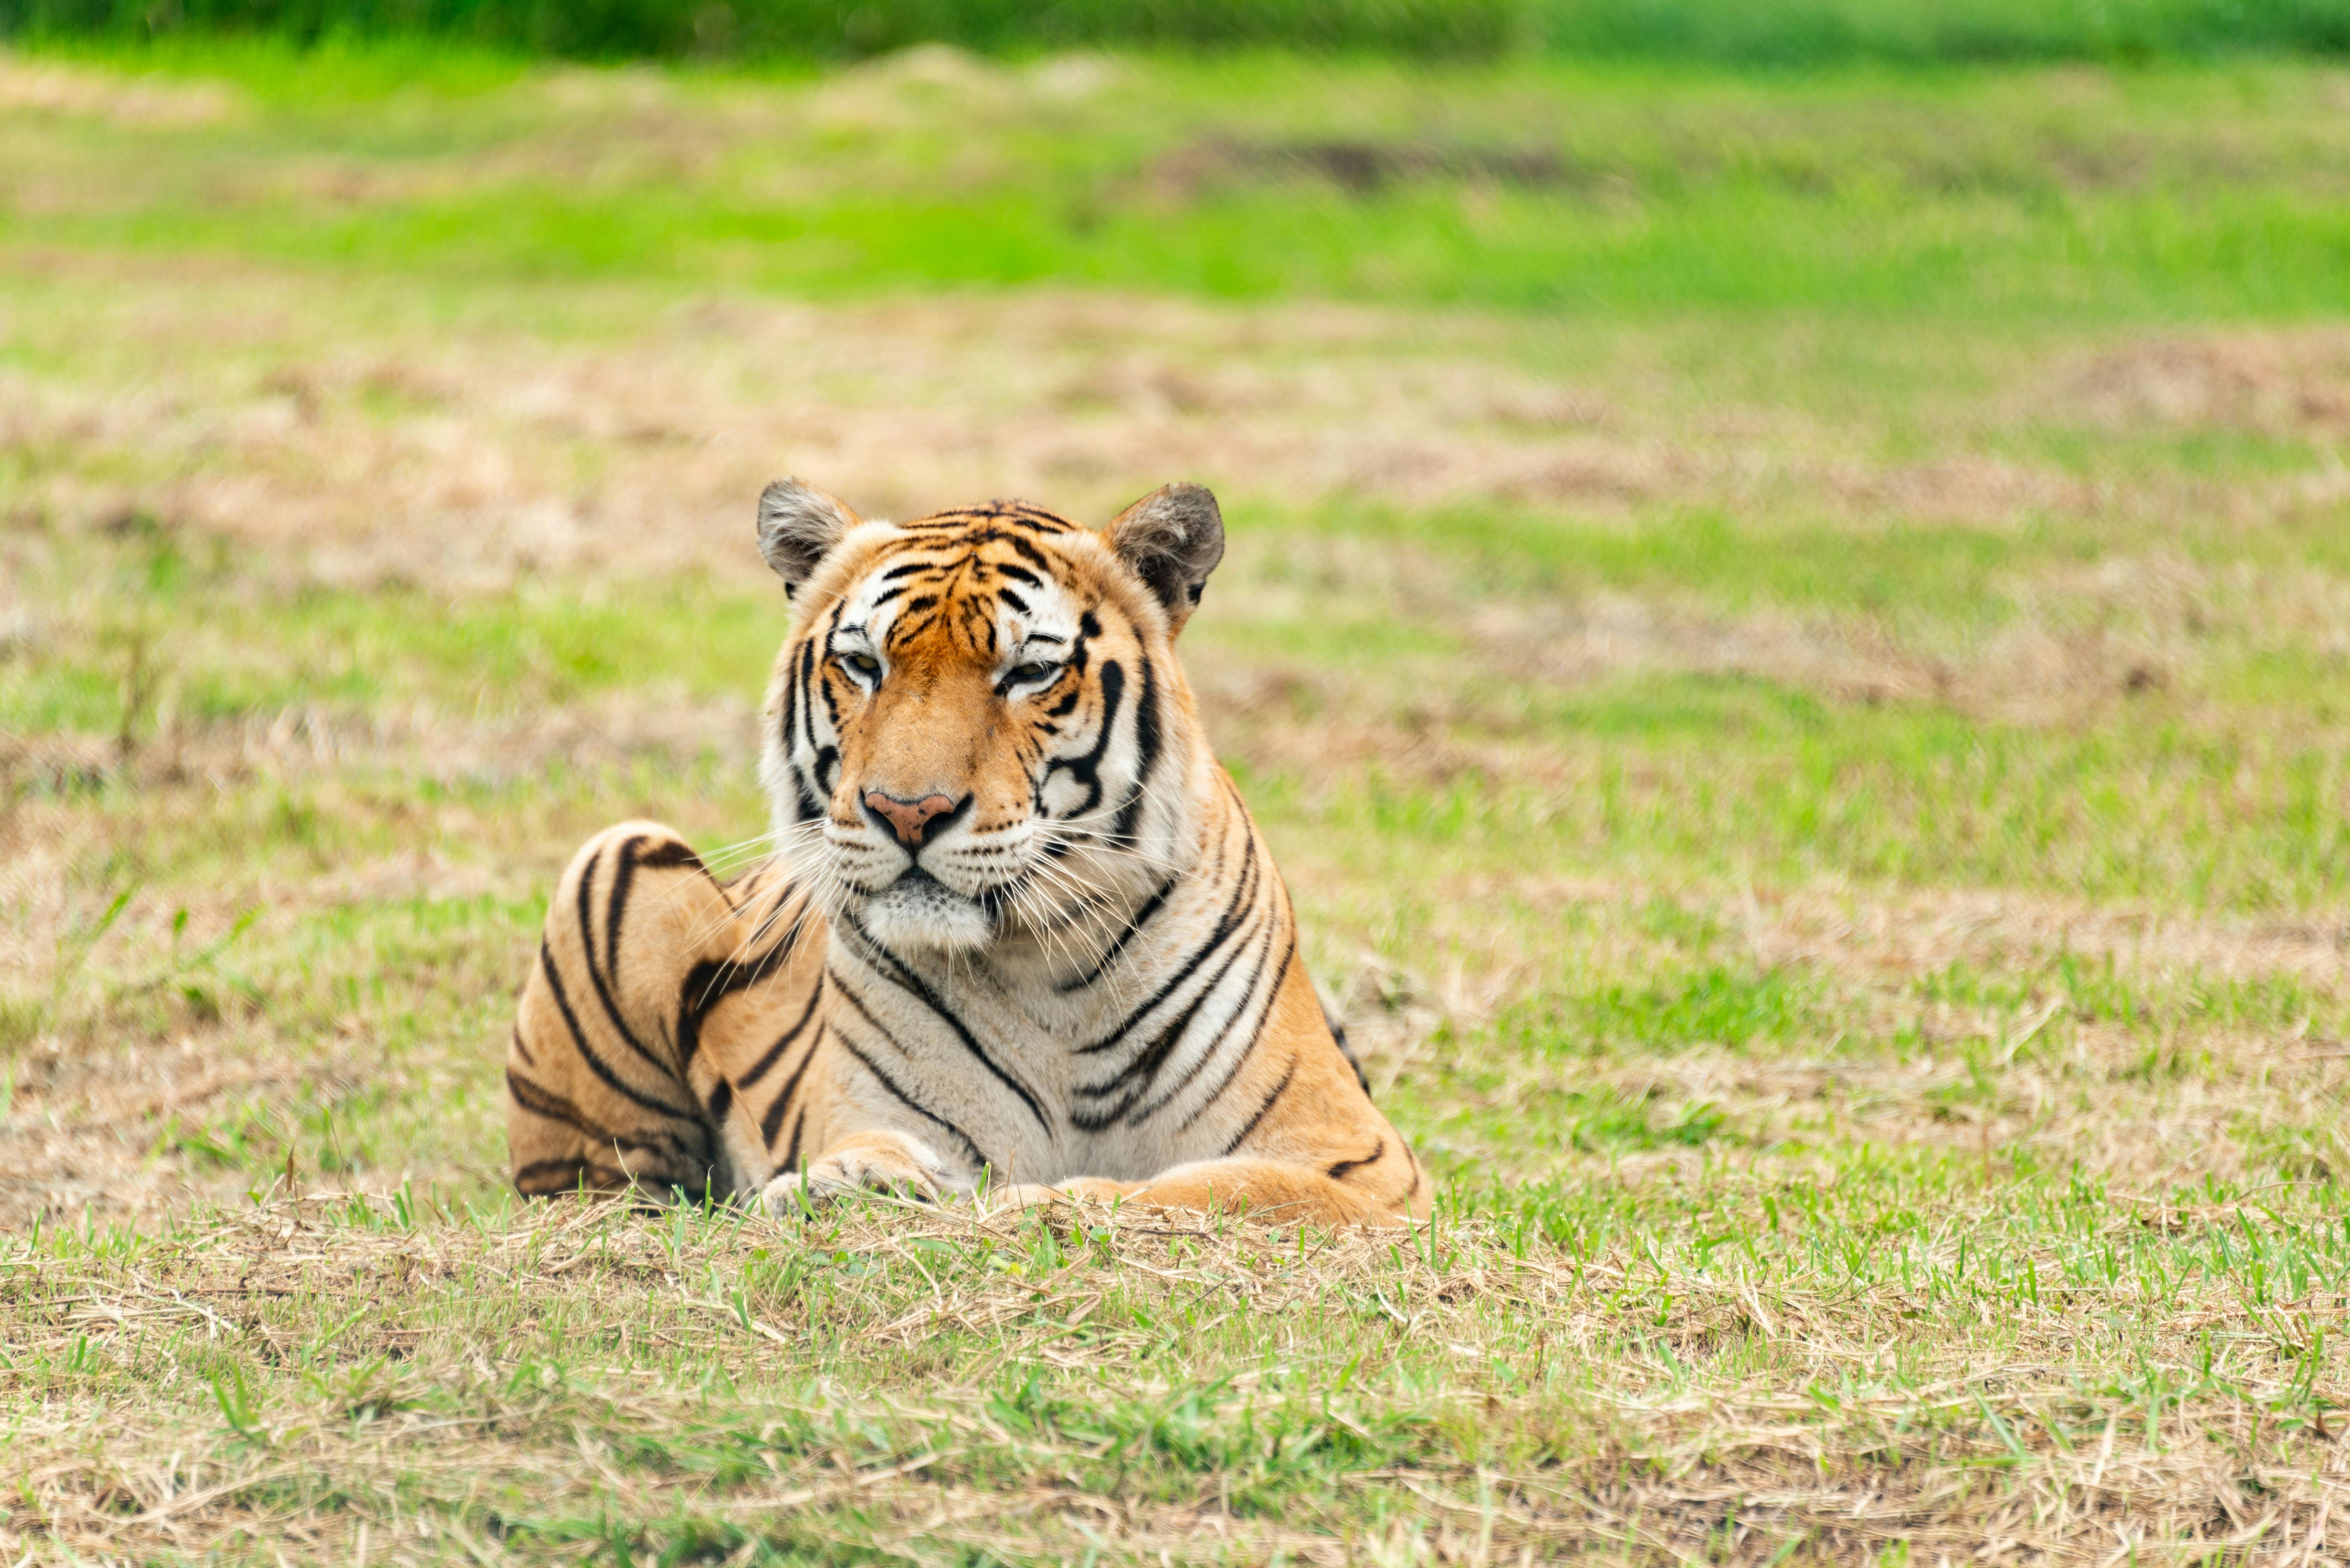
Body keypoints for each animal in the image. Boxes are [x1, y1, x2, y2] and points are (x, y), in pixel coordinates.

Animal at [502, 478, 1428, 1227]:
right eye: (862, 664)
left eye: (1027, 672)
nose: (907, 813)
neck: (1052, 972)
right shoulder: (873, 1108)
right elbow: (872, 1149)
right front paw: (844, 1184)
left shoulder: (1367, 1169)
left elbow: (1224, 1188)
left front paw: (1037, 1202)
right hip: (616, 855)